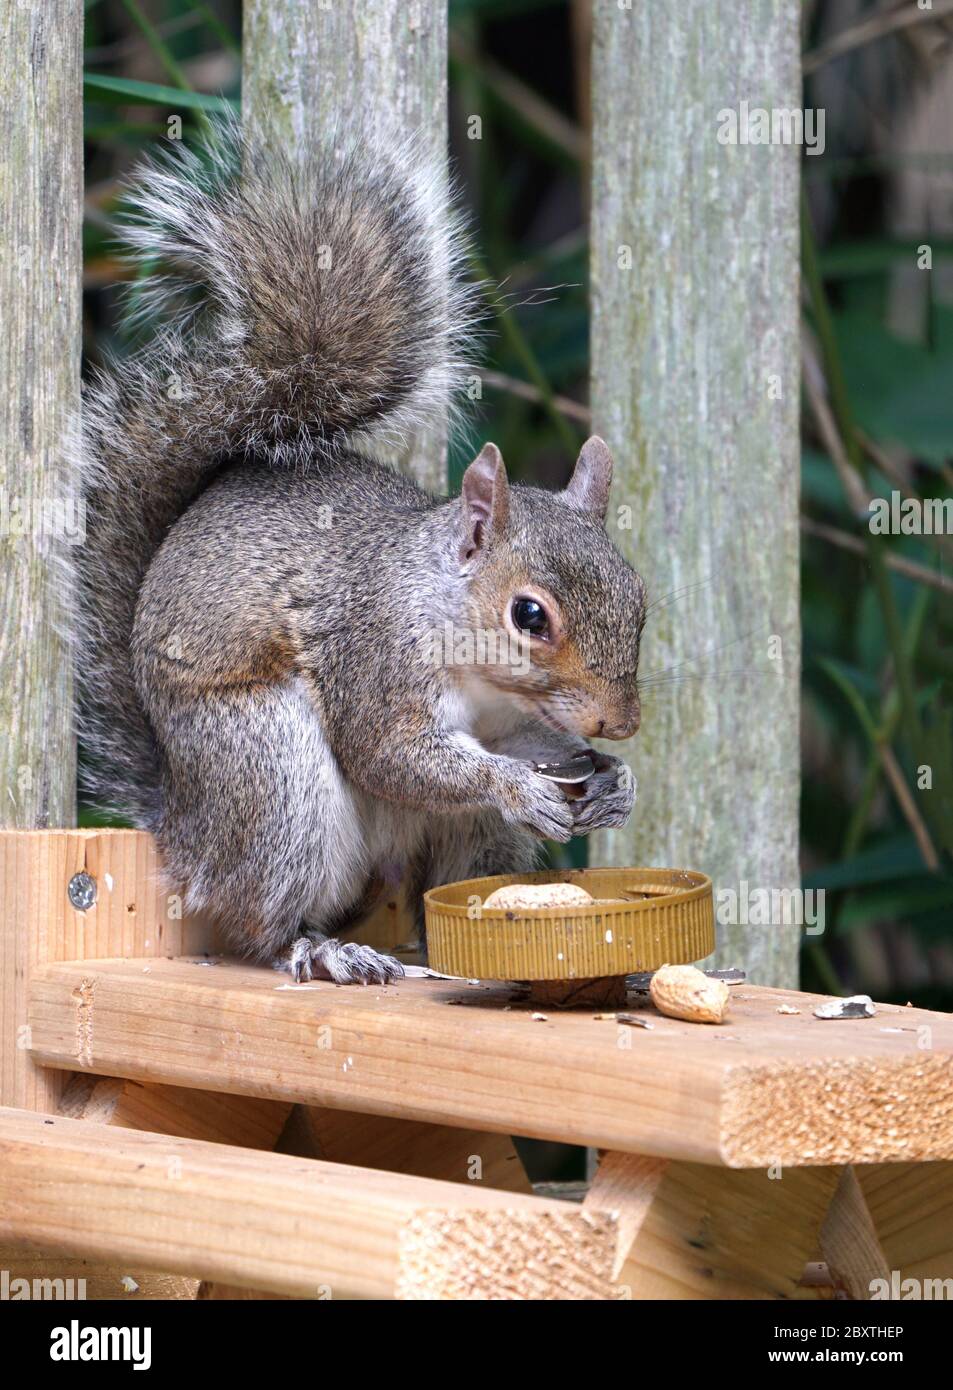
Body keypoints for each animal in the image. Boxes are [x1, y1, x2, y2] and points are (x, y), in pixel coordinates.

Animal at [73, 122, 646, 985]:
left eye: (638, 598)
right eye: (528, 615)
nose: (619, 723)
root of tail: (183, 823)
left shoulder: (515, 718)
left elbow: (527, 745)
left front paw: (612, 783)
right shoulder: (373, 660)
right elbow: (391, 754)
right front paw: (513, 784)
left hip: (457, 839)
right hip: (272, 778)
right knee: (256, 919)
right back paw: (318, 948)